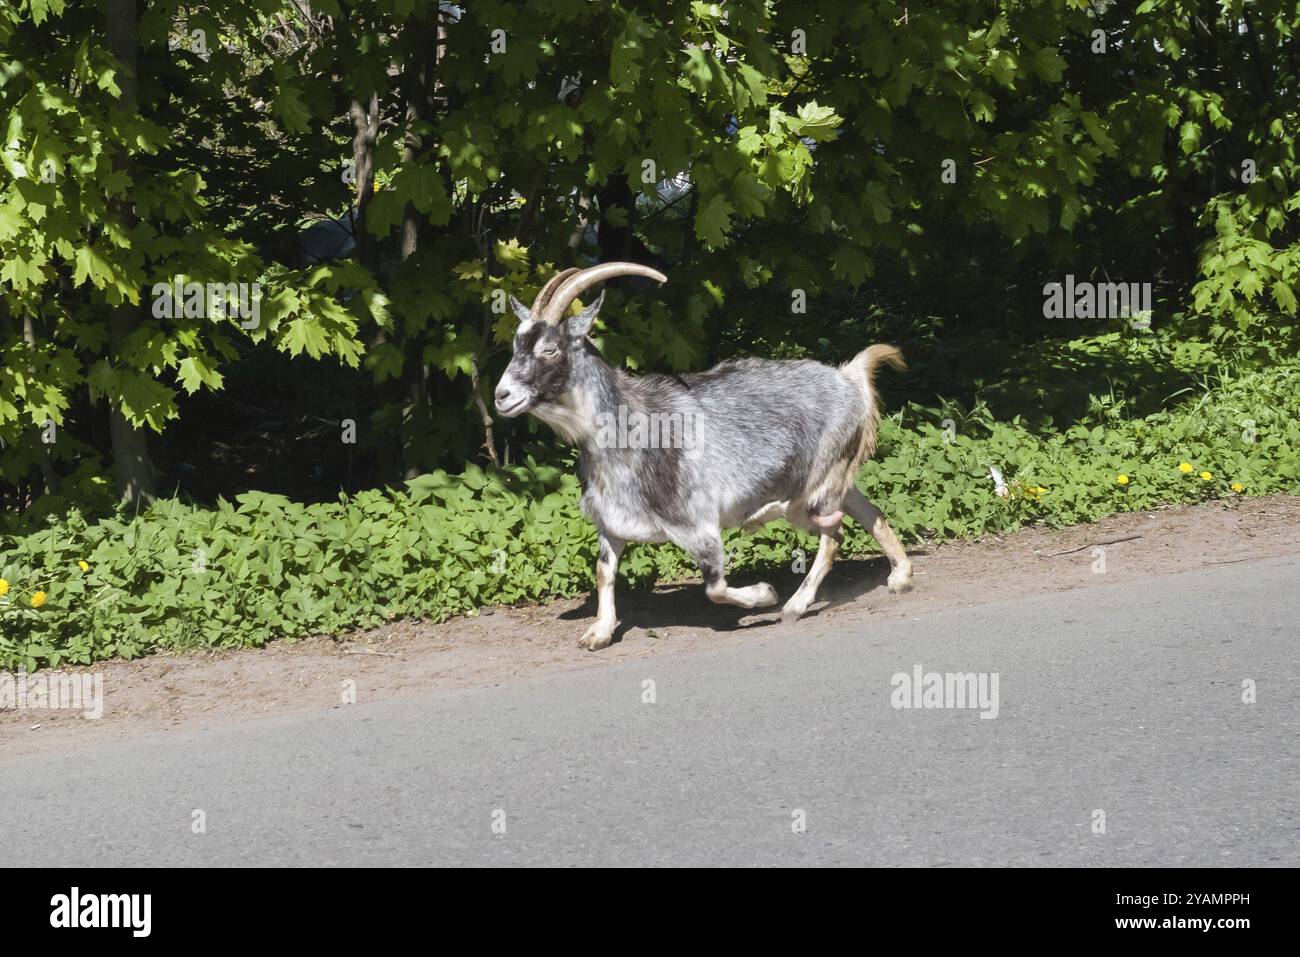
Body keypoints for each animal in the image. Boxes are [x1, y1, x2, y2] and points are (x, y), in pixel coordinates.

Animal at [494, 262, 913, 650]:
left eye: (550, 348)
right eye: (515, 347)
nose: (502, 396)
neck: (629, 428)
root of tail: (849, 379)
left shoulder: (695, 524)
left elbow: (714, 587)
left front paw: (764, 594)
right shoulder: (611, 522)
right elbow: (604, 571)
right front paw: (598, 633)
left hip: (818, 482)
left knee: (832, 535)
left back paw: (794, 602)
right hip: (834, 477)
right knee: (869, 513)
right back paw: (900, 577)